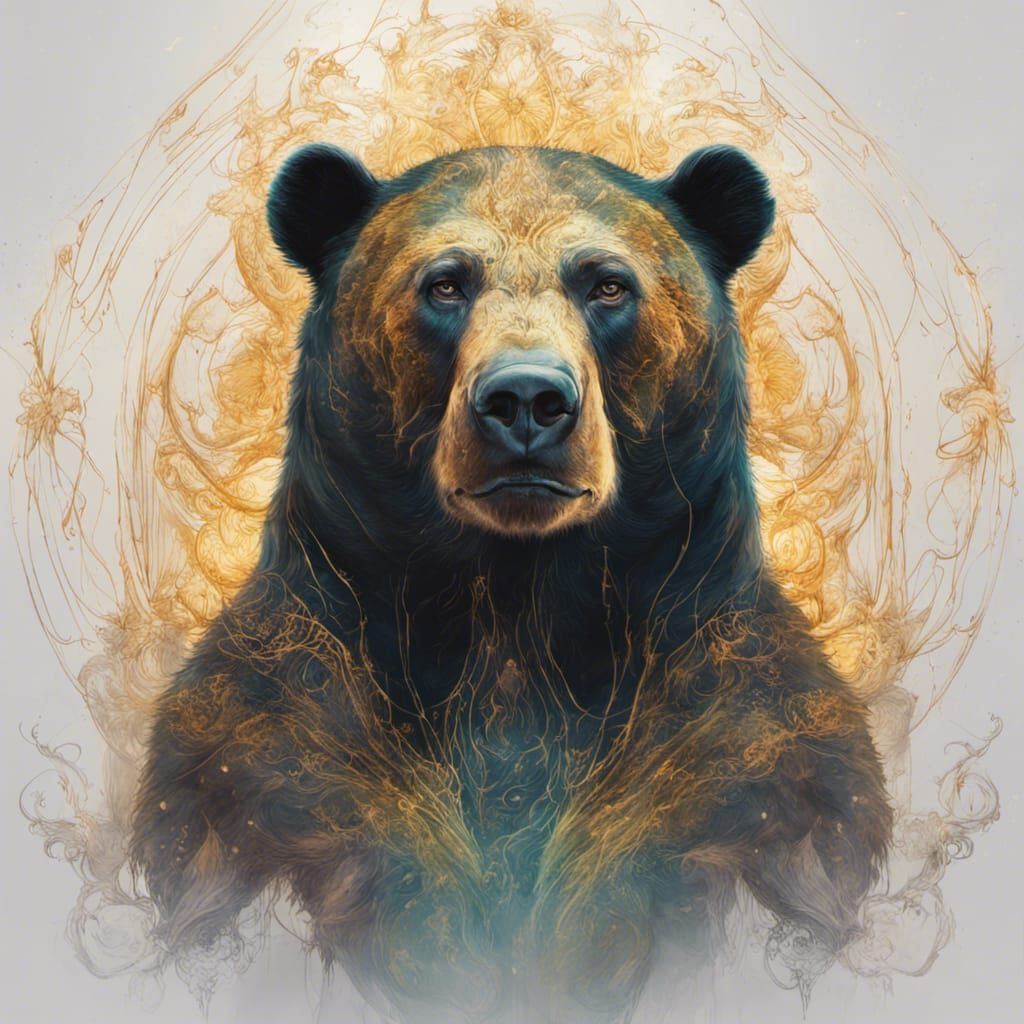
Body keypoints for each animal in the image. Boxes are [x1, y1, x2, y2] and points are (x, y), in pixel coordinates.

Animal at [131, 143, 891, 1022]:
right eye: (445, 282)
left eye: (607, 283)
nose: (526, 396)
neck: (514, 598)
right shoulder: (267, 746)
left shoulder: (747, 745)